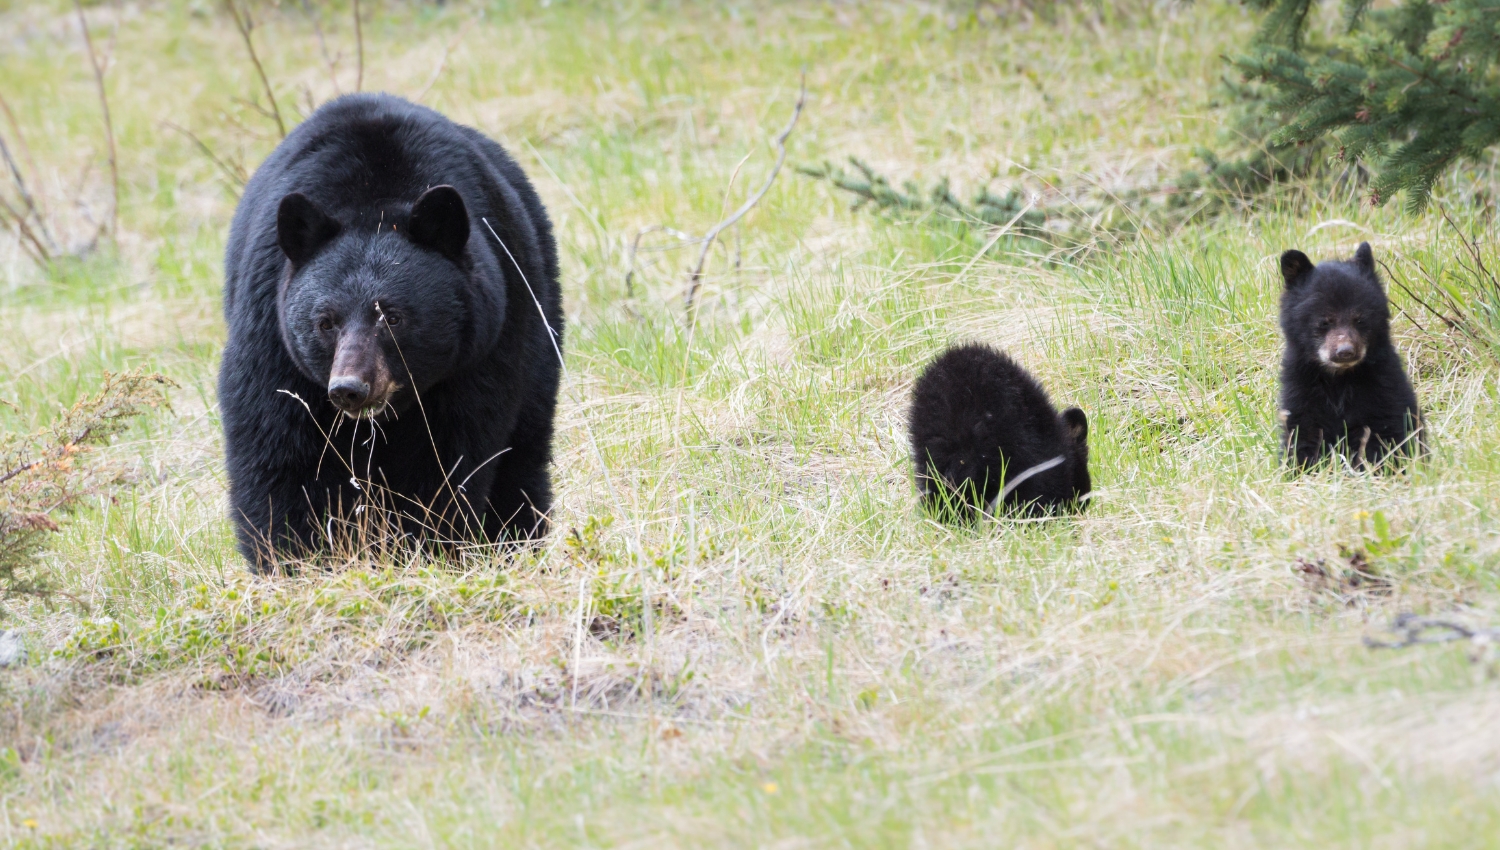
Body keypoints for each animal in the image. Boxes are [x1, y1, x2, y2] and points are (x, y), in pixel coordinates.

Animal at [219, 93, 562, 572]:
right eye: (325, 322)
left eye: (393, 317)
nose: (349, 388)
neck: (373, 200)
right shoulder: (272, 339)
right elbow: (278, 453)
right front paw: (295, 562)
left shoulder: (480, 352)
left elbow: (446, 460)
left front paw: (428, 549)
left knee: (524, 451)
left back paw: (515, 538)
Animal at [1278, 241, 1421, 470]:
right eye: (1324, 321)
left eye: (1360, 319)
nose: (1345, 352)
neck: (1339, 379)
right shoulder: (1300, 388)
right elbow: (1303, 433)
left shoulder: (1383, 387)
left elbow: (1383, 433)